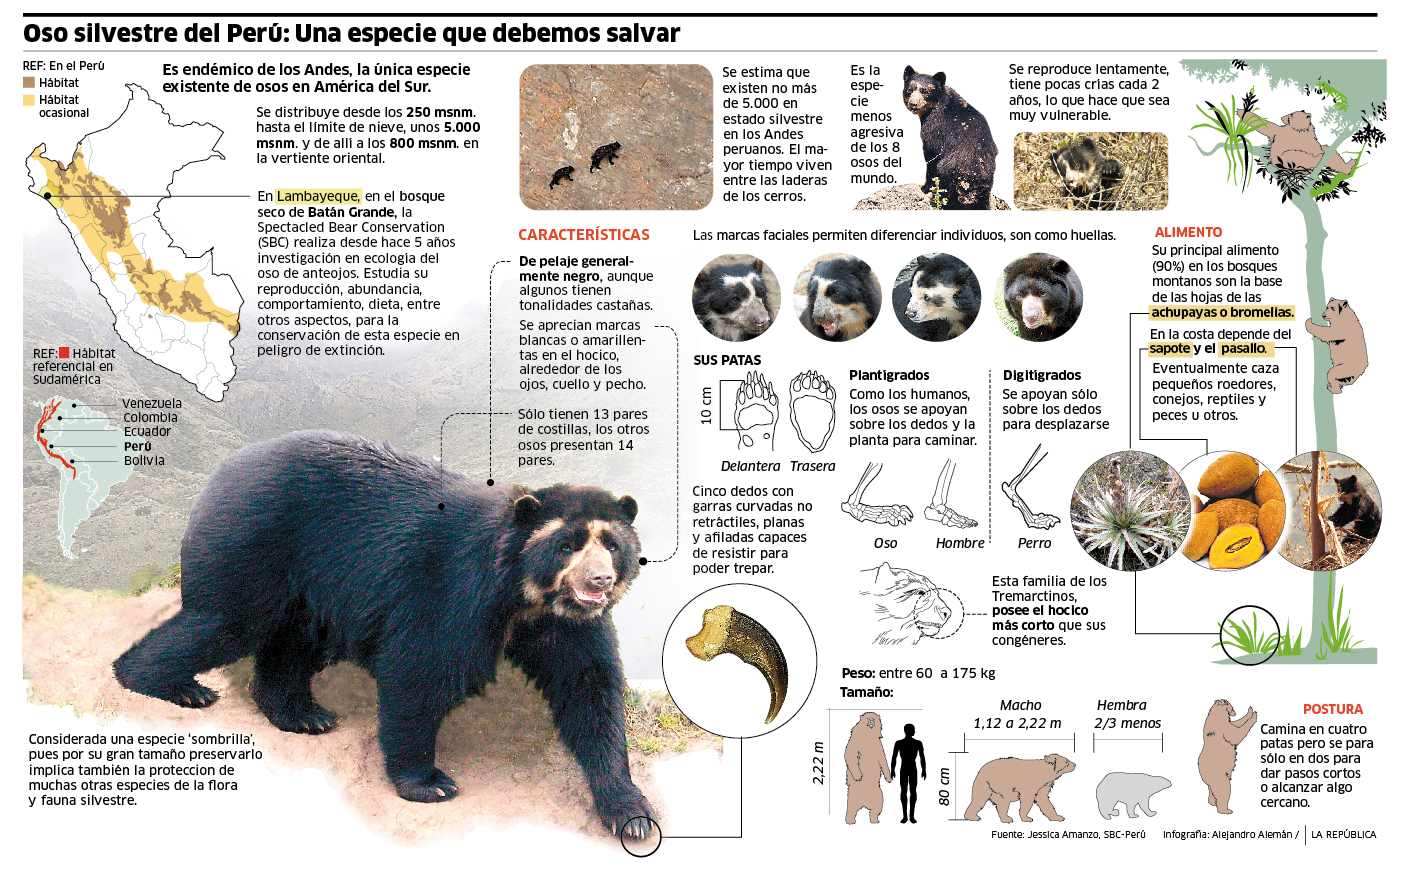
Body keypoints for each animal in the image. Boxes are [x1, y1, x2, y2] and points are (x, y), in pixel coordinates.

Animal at [112, 431, 656, 839]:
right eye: (568, 544)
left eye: (612, 543)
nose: (600, 581)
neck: (525, 597)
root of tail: (219, 474)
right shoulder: (454, 590)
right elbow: (420, 669)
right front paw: (428, 782)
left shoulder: (569, 627)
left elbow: (589, 692)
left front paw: (631, 814)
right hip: (253, 543)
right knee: (224, 622)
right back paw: (171, 684)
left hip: (309, 589)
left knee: (292, 645)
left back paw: (300, 713)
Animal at [901, 66, 998, 209]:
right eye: (910, 89)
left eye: (925, 91)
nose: (913, 104)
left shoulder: (935, 125)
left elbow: (931, 153)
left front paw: (924, 187)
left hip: (951, 170)